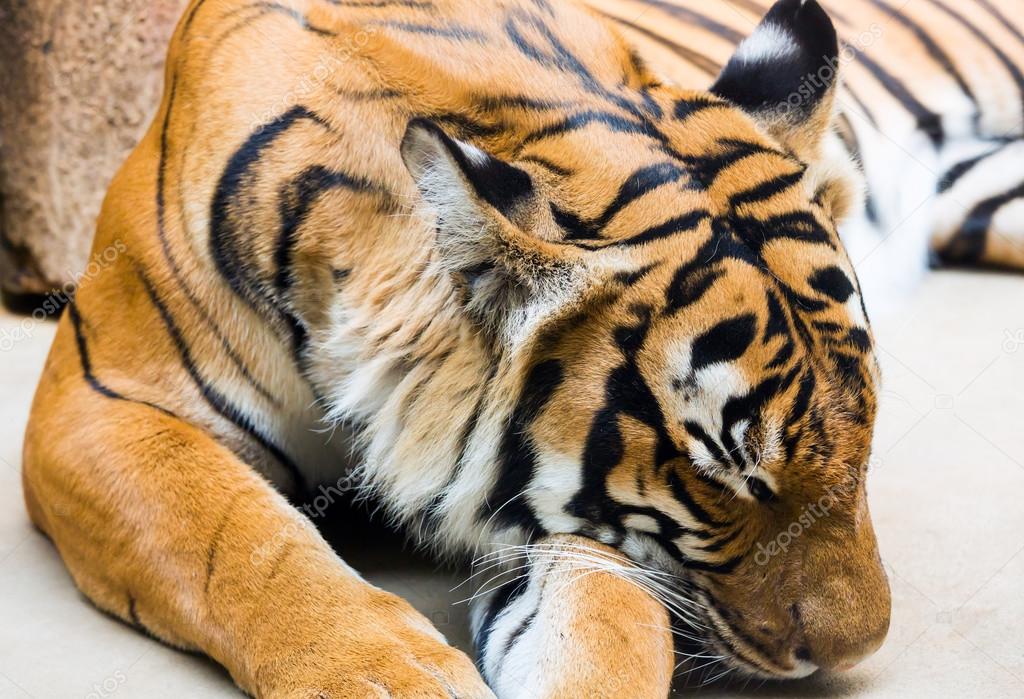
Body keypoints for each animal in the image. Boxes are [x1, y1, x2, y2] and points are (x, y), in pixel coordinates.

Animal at [30, 0, 1024, 695]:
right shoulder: (98, 404)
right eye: (724, 474)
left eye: (868, 430)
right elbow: (234, 538)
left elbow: (610, 626)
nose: (862, 649)